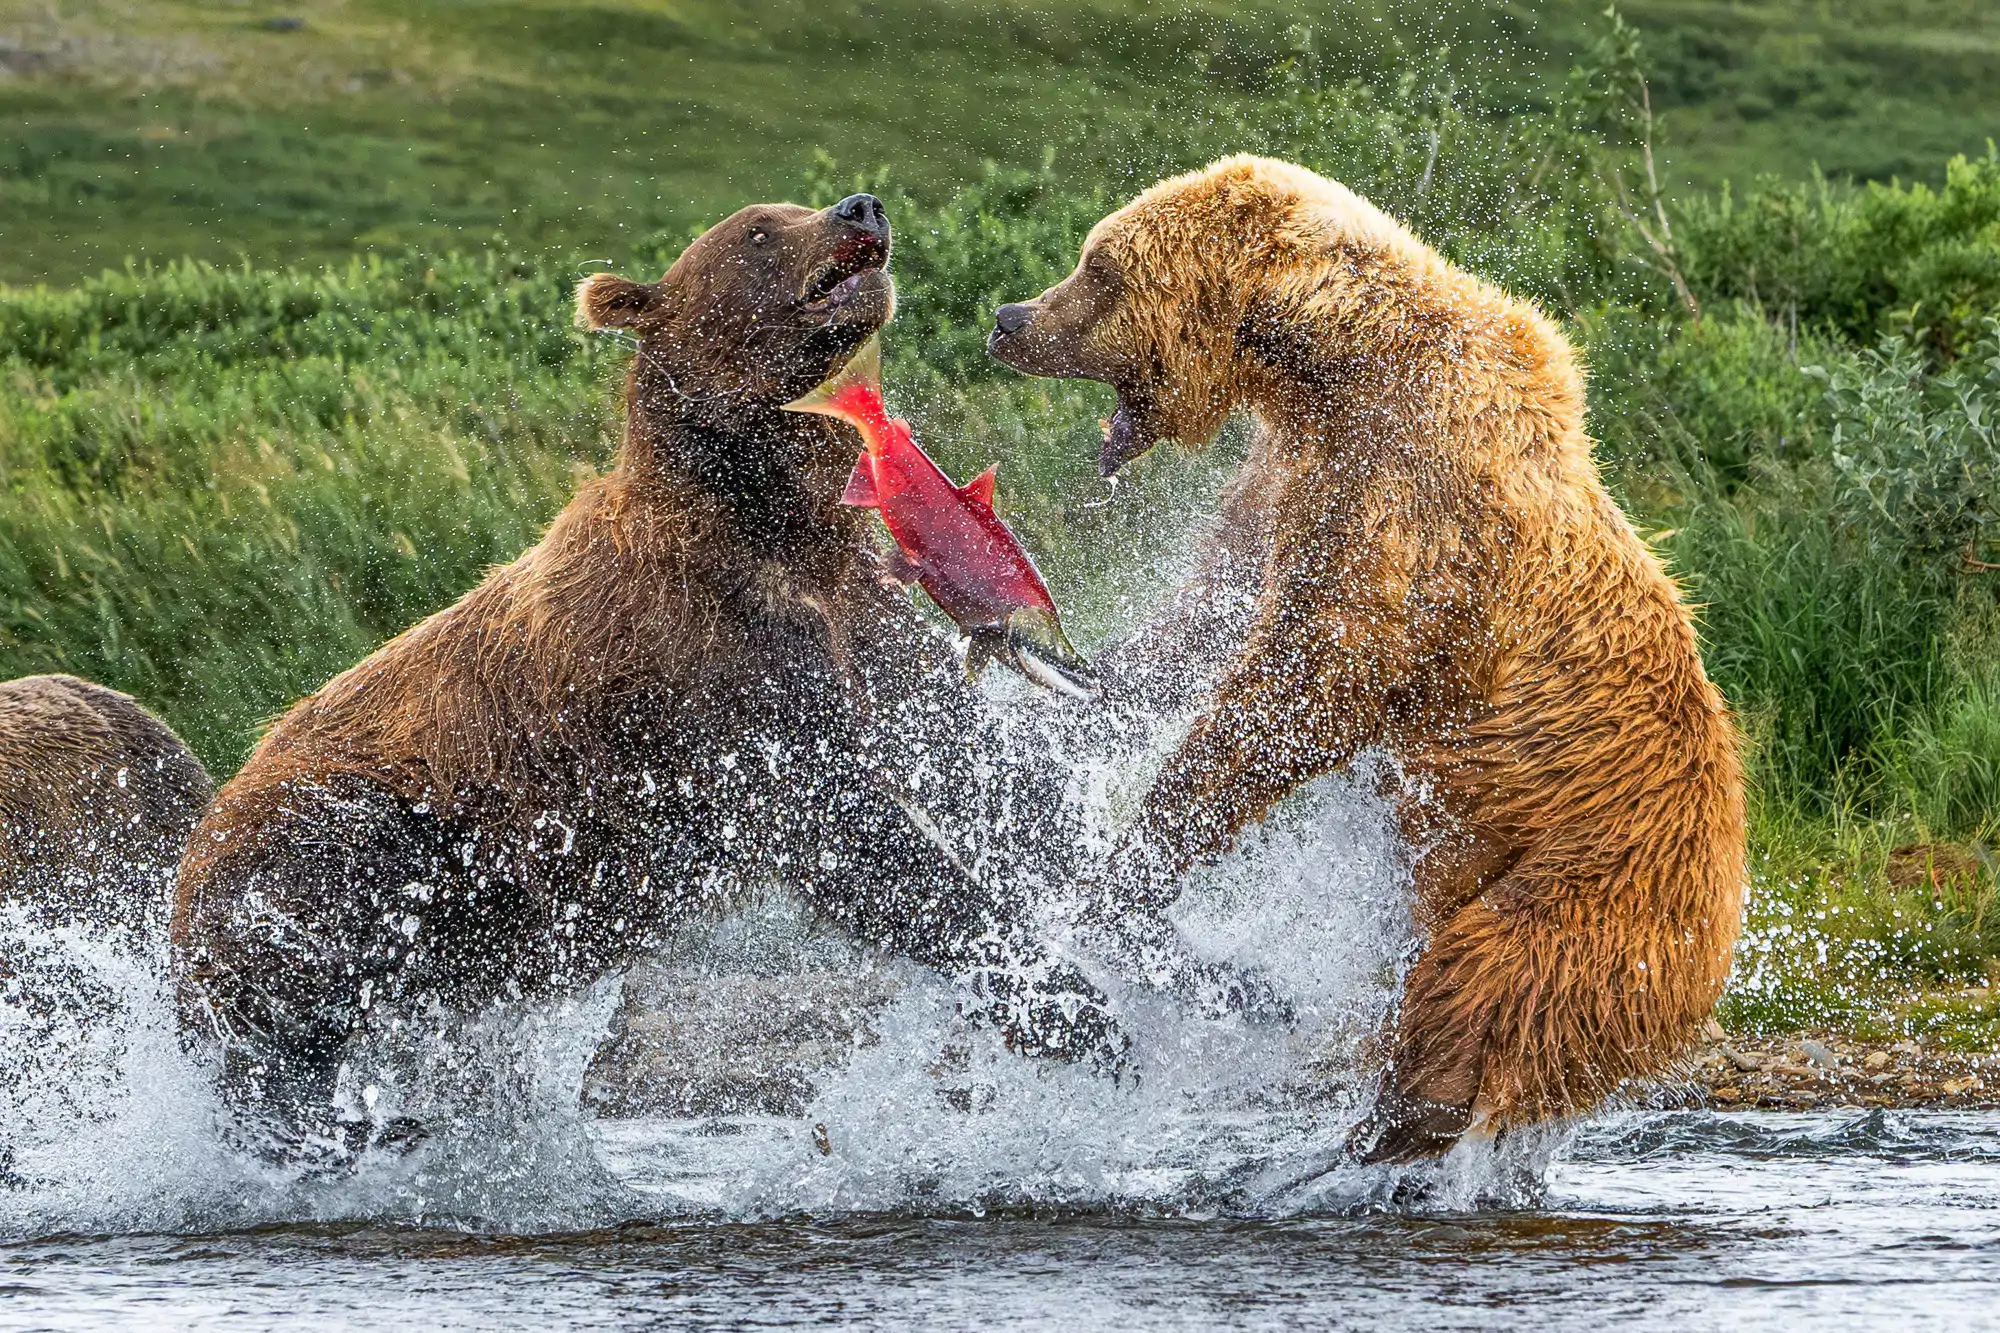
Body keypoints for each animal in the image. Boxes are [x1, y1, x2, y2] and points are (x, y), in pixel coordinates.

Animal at [173, 193, 1117, 1151]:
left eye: (792, 207)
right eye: (759, 232)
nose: (861, 206)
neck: (766, 522)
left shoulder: (859, 625)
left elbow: (983, 765)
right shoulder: (714, 682)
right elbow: (862, 845)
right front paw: (1071, 1008)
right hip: (331, 839)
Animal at [988, 155, 1747, 1162]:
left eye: (1100, 266)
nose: (1010, 318)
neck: (1333, 364)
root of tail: (1723, 920)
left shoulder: (1412, 503)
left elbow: (1305, 690)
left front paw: (1122, 884)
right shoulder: (1300, 479)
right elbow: (1210, 610)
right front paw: (1052, 661)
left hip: (1592, 896)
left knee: (1478, 989)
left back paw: (1382, 1127)